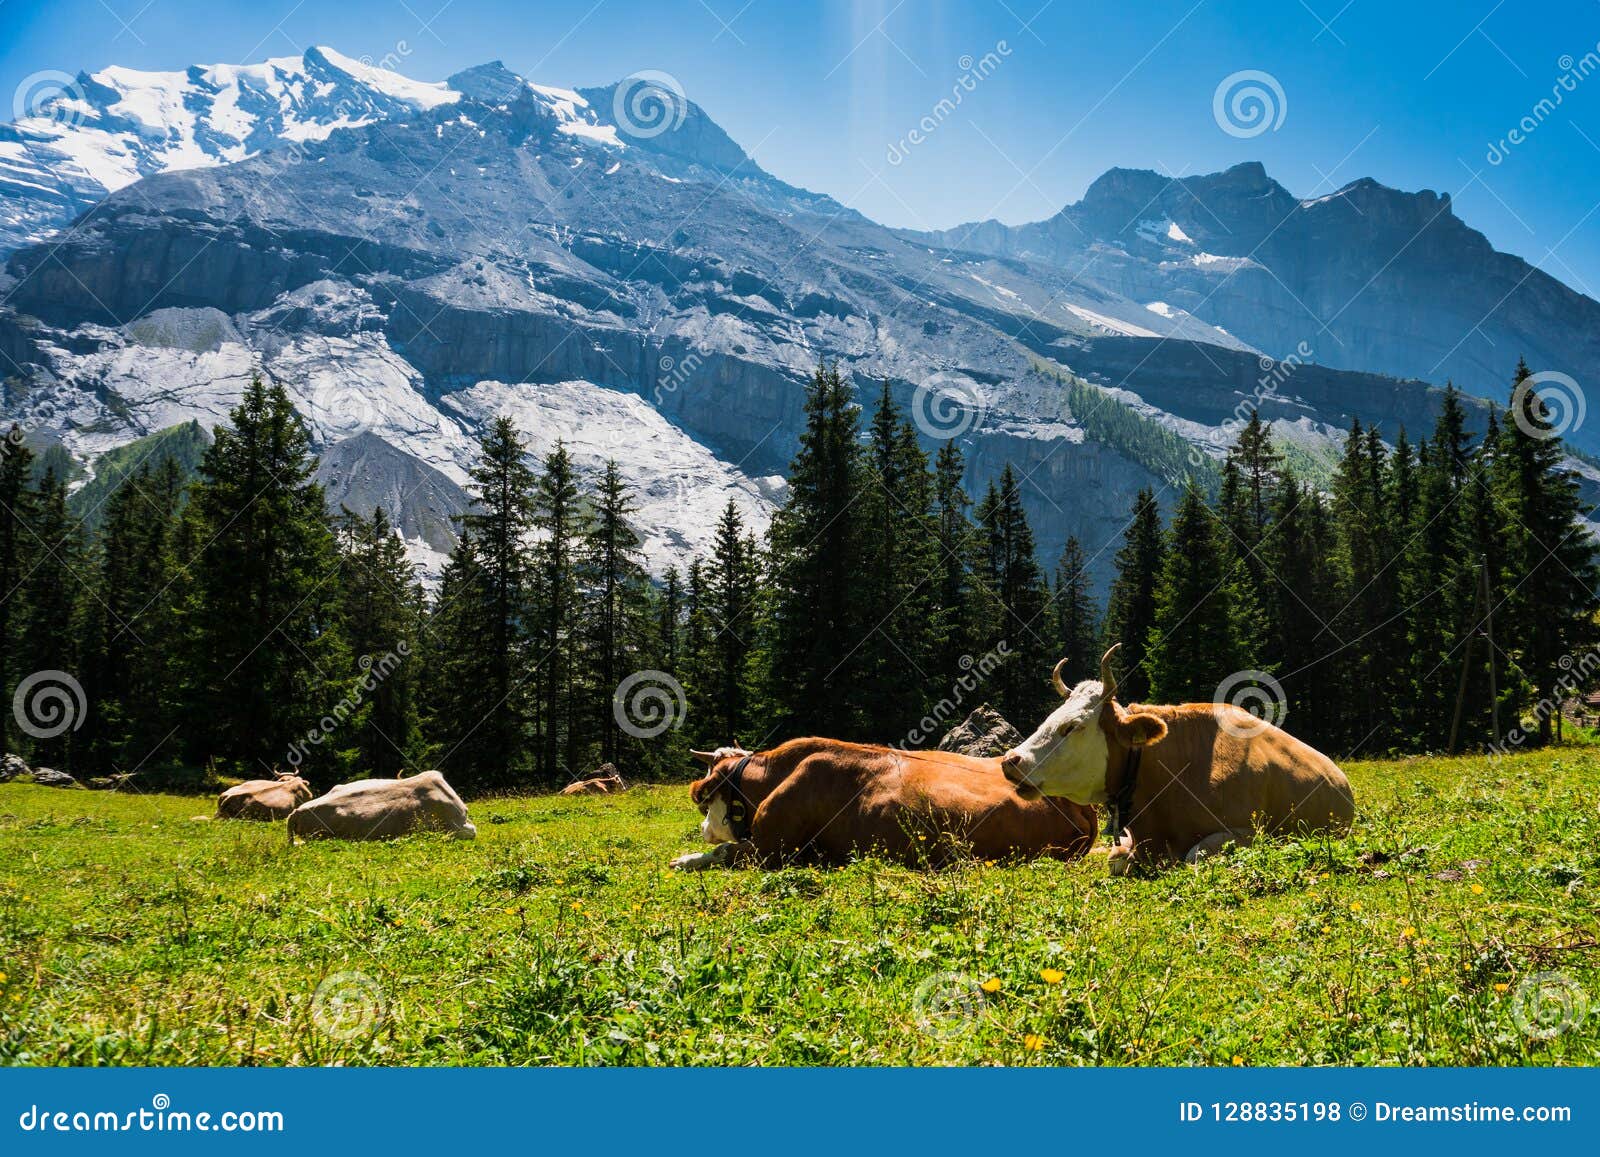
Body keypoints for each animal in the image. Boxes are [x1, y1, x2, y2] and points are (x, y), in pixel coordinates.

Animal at [1000, 646, 1355, 874]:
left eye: (1072, 726)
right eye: (1049, 717)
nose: (1011, 760)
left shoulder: (1251, 832)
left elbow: (1193, 856)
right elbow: (1117, 858)